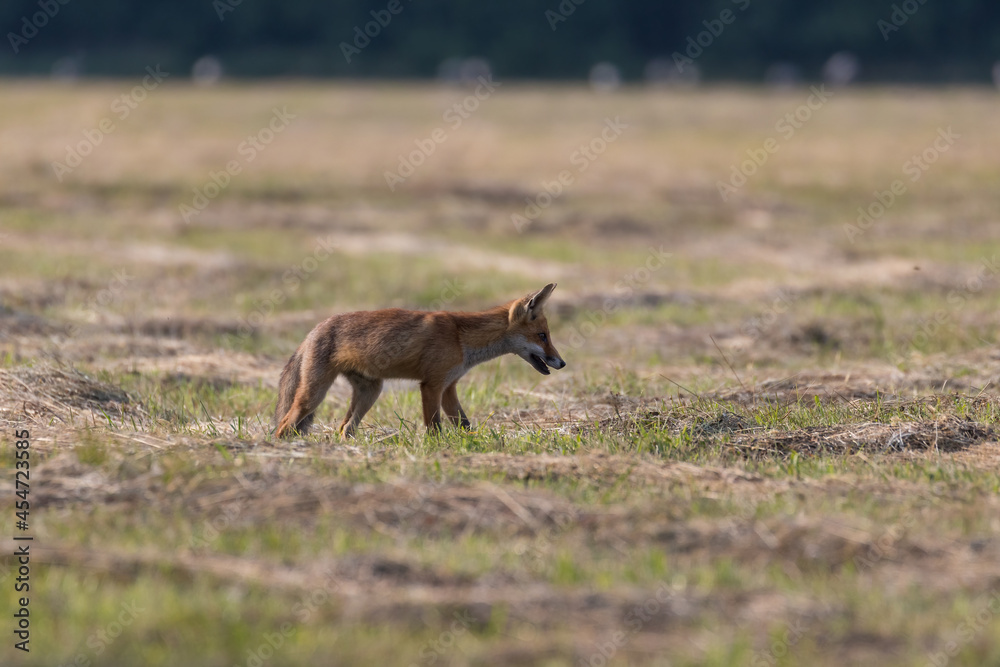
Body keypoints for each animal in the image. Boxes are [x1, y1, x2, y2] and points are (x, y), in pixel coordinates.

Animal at [273, 283, 566, 439]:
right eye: (542, 336)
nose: (562, 363)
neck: (462, 338)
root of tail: (313, 330)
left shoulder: (449, 388)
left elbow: (464, 424)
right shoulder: (431, 385)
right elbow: (434, 427)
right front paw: (437, 450)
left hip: (370, 392)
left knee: (344, 428)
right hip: (313, 395)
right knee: (285, 424)